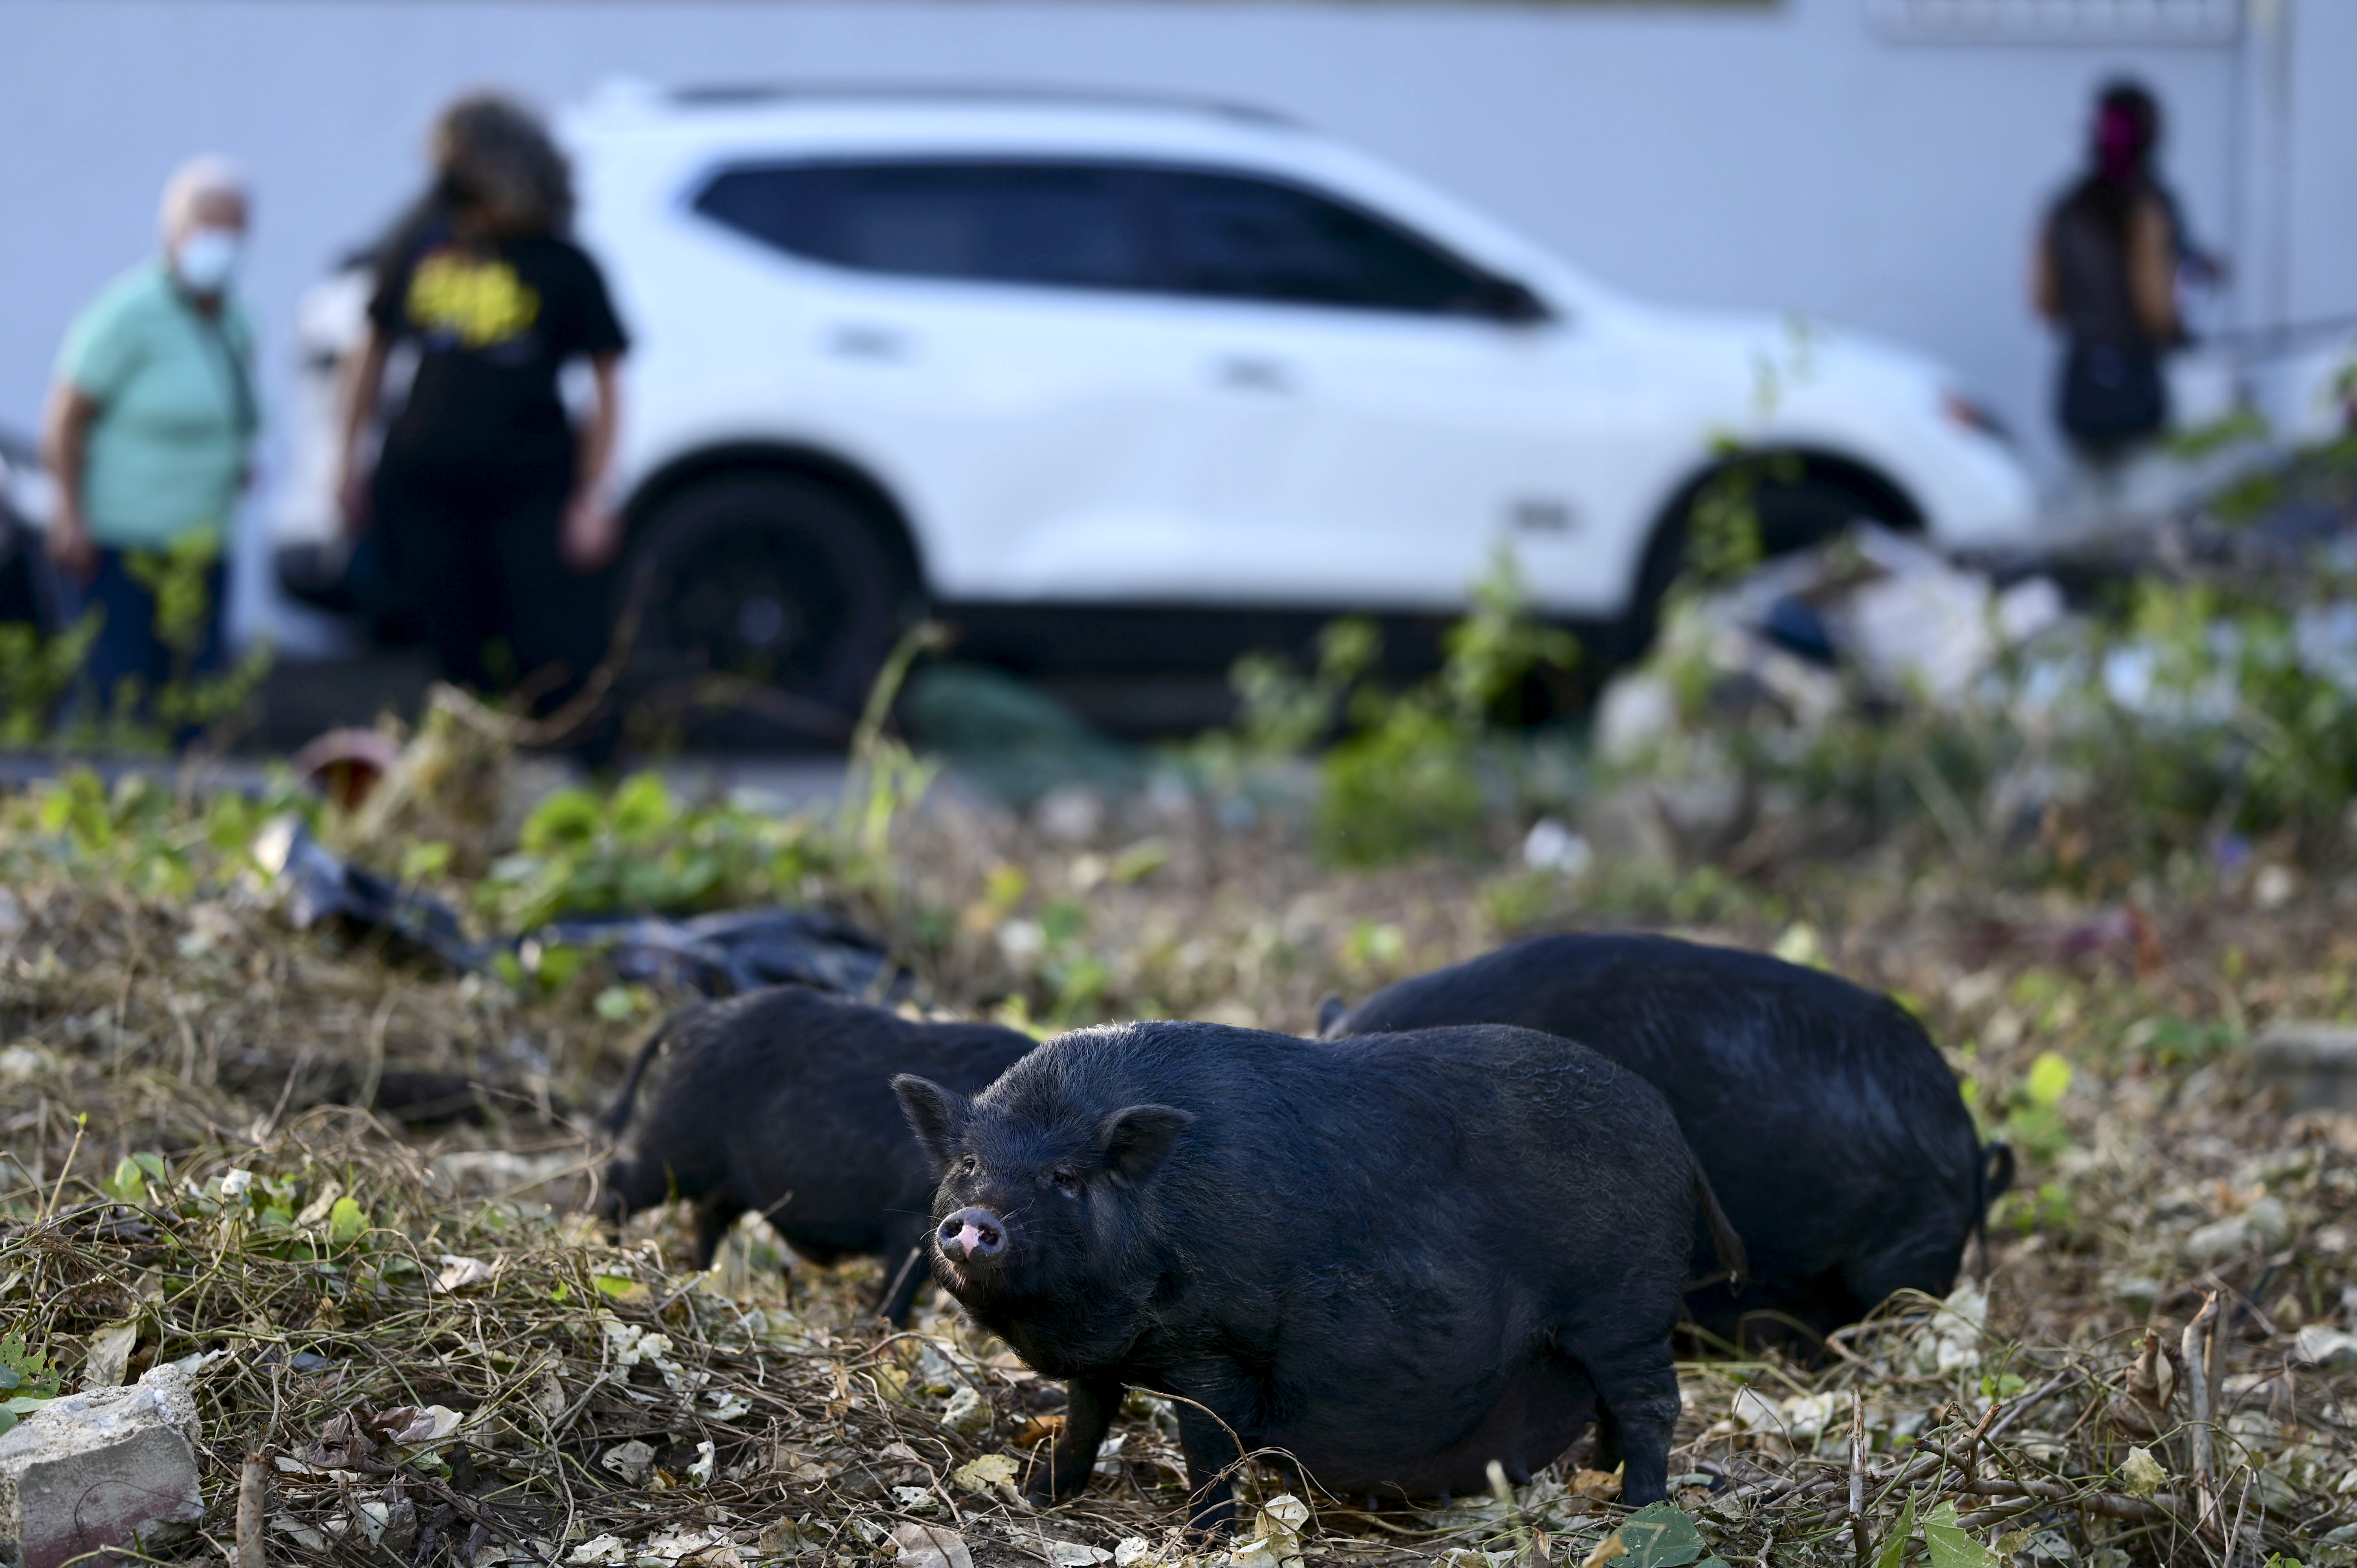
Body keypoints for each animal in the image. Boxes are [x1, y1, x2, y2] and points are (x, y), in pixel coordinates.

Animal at [599, 984, 1035, 1324]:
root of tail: (696, 1015)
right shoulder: (912, 1223)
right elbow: (898, 1288)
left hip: (734, 1178)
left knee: (709, 1213)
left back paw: (700, 1279)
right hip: (676, 1141)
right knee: (620, 1179)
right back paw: (608, 1251)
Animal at [893, 1020, 1744, 1533]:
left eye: (1066, 1177)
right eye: (968, 1164)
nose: (975, 1220)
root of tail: (1676, 1134)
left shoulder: (1216, 1348)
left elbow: (1208, 1443)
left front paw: (1204, 1535)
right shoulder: (1103, 1358)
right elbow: (1085, 1418)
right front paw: (1039, 1493)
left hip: (1625, 1305)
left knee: (1649, 1404)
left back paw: (1639, 1509)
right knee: (1608, 1407)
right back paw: (1595, 1483)